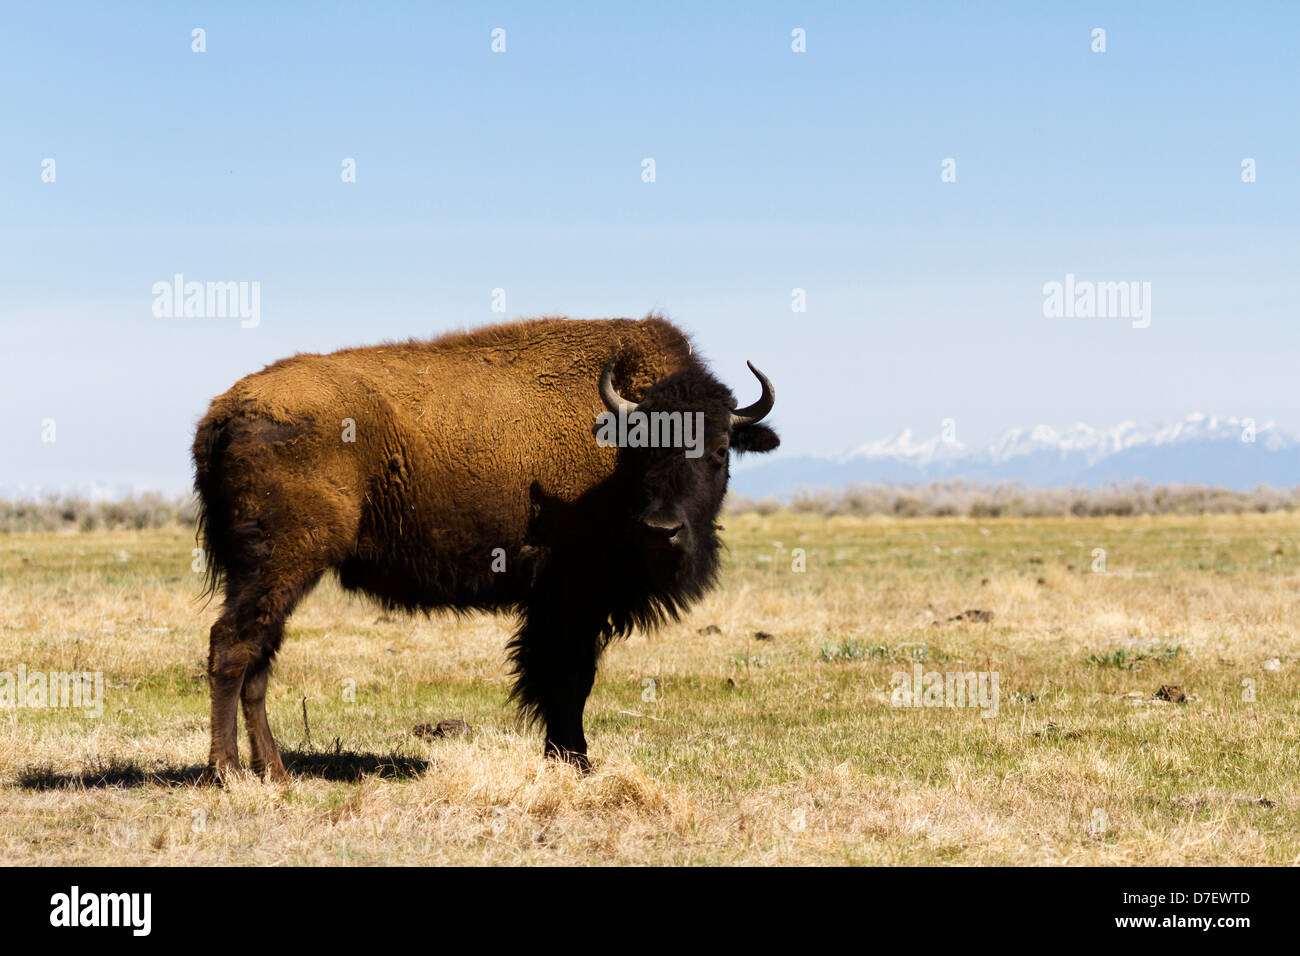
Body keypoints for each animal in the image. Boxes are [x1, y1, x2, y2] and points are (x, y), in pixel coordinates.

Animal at [192, 316, 778, 779]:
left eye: (720, 449)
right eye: (641, 450)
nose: (663, 529)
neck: (609, 452)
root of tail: (225, 411)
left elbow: (560, 678)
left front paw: (566, 758)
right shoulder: (570, 600)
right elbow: (566, 678)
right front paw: (576, 762)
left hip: (275, 577)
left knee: (258, 658)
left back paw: (273, 770)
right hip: (279, 565)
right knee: (232, 647)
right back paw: (228, 771)